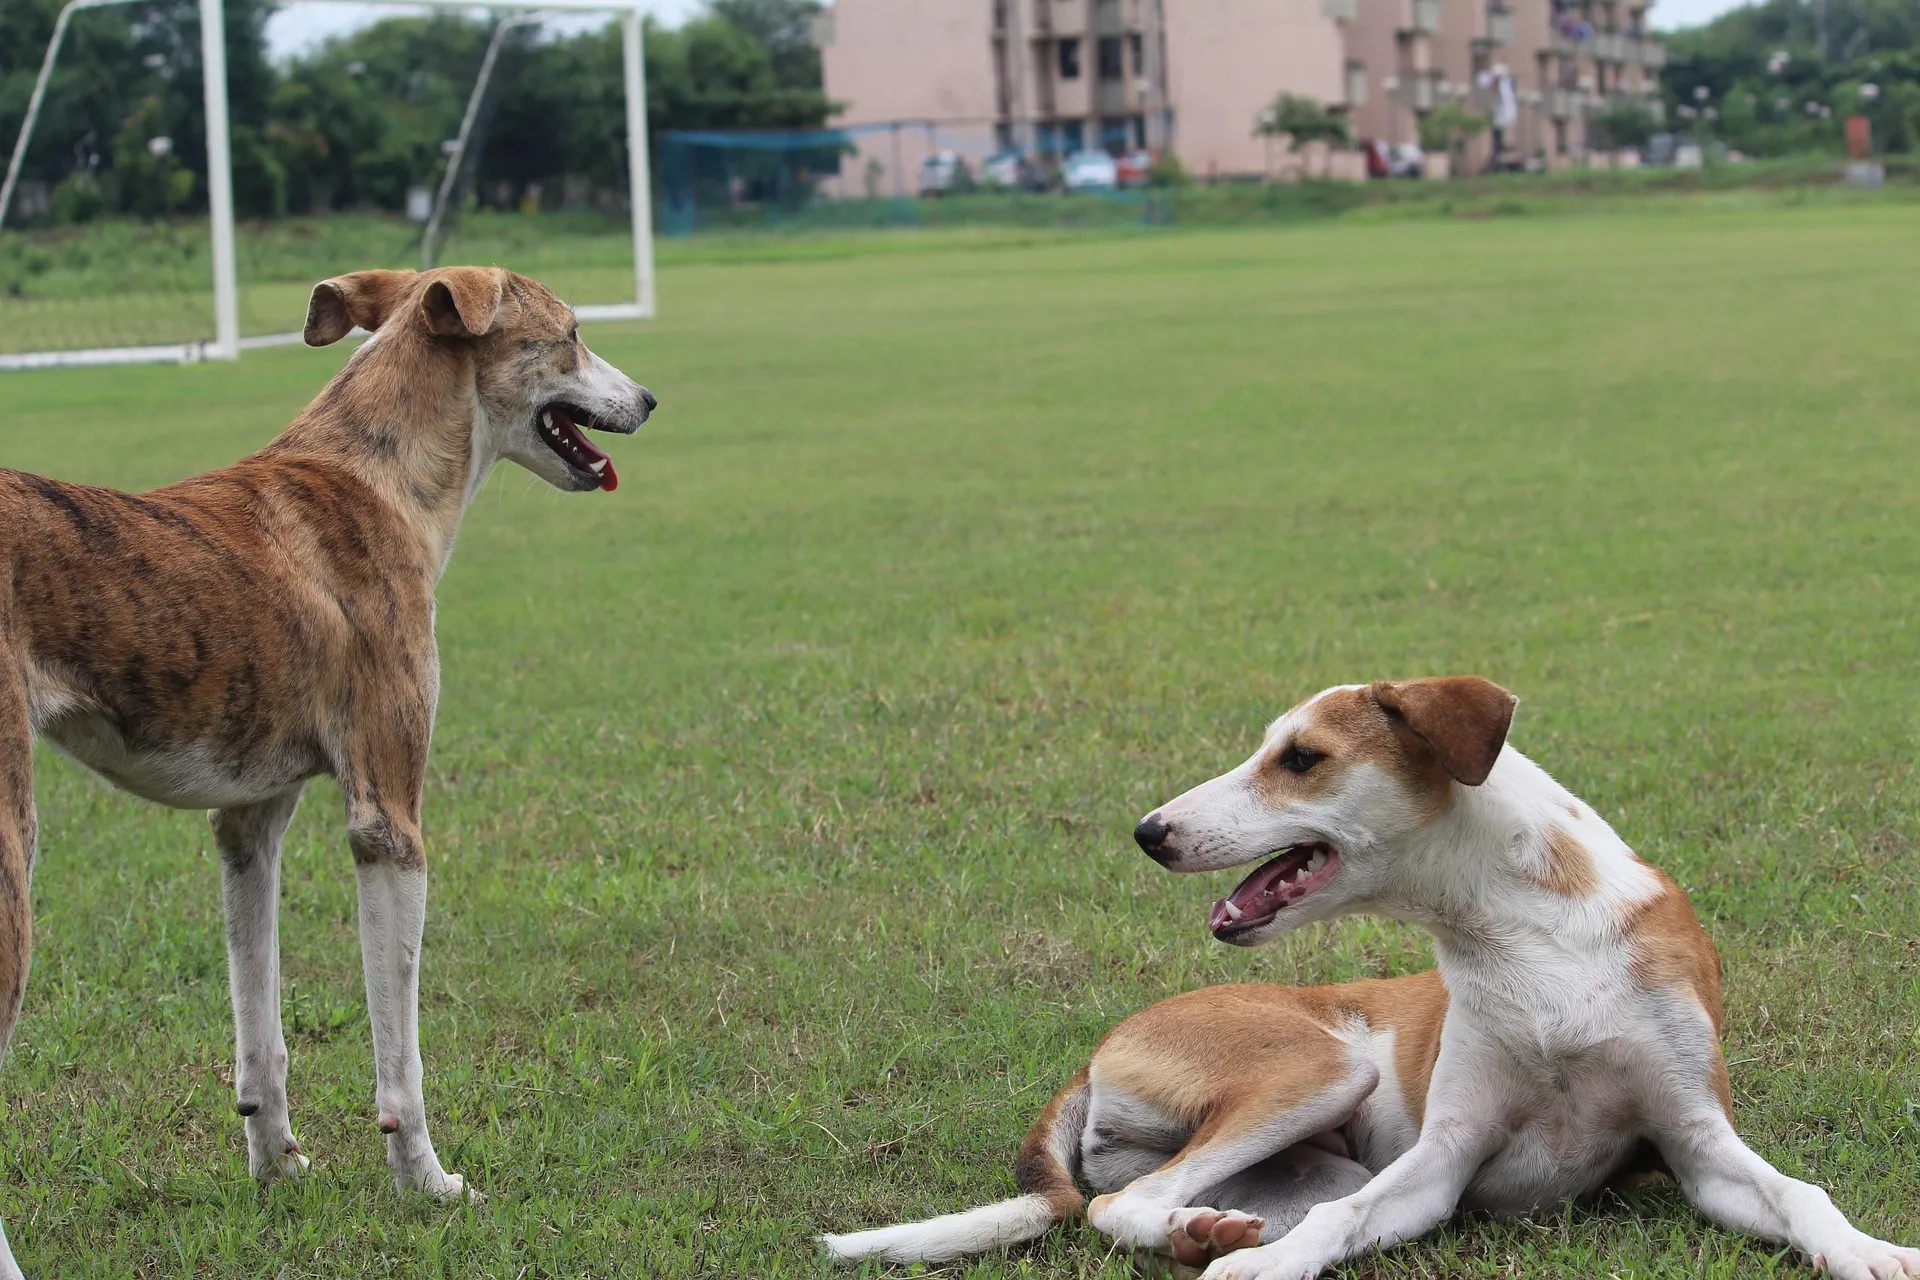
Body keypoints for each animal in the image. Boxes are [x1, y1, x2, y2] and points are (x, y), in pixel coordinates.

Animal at [0, 264, 652, 1274]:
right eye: (573, 333)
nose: (651, 401)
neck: (374, 481)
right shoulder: (387, 823)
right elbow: (401, 1060)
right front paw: (427, 1186)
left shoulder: (249, 823)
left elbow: (260, 1035)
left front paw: (278, 1170)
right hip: (12, 860)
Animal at [825, 675, 1920, 1274]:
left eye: (1301, 757)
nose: (1148, 832)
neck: (1534, 940)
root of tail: (1096, 1054)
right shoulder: (1441, 1156)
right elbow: (1350, 1221)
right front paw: (1262, 1272)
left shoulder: (1696, 1145)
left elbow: (1802, 1192)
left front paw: (1872, 1250)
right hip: (1320, 1068)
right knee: (1117, 1207)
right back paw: (1207, 1238)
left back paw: (1207, 1231)